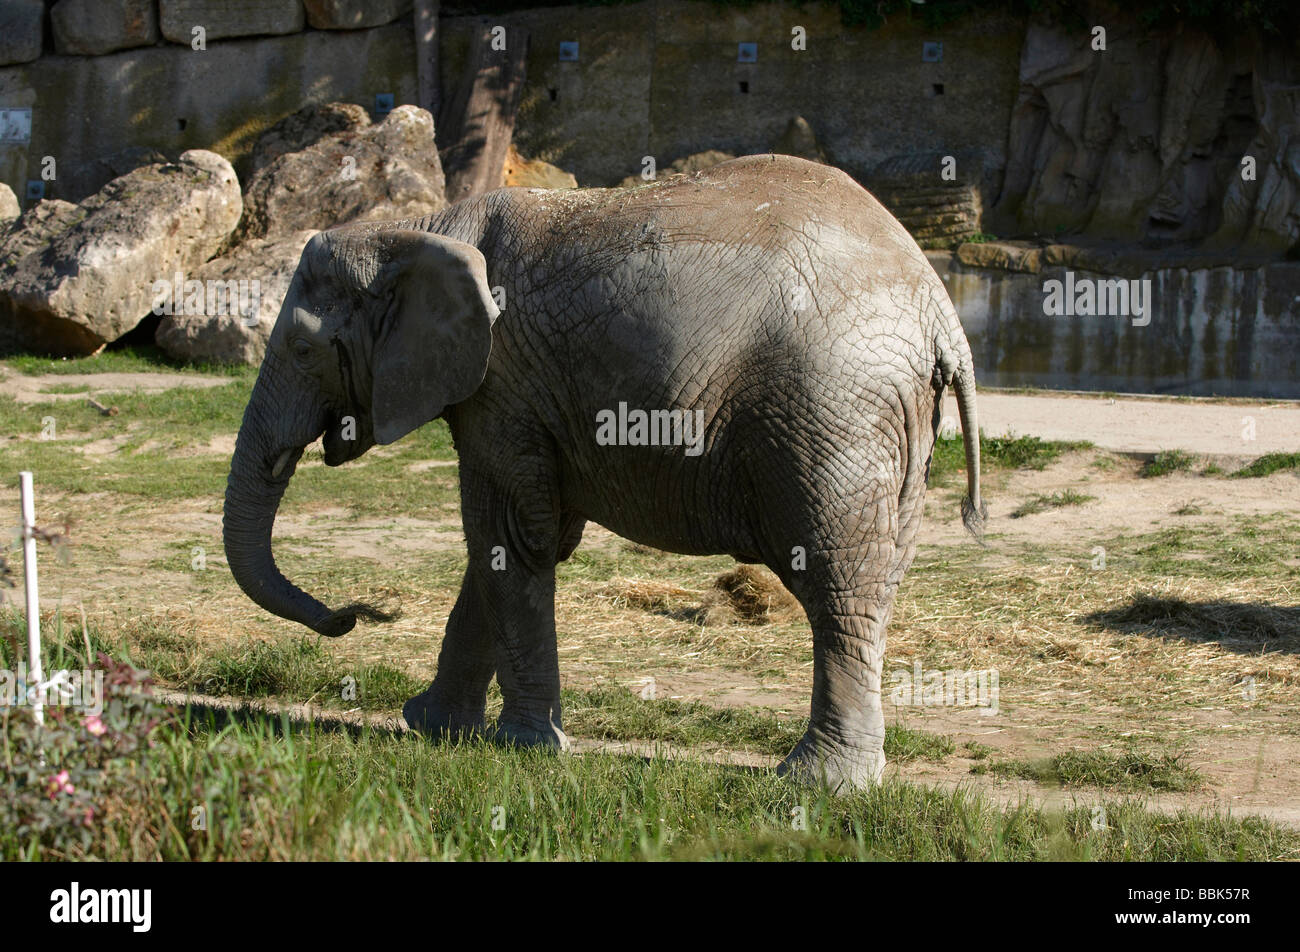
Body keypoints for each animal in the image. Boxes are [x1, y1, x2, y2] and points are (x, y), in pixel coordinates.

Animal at [223, 153, 985, 791]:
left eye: (301, 349)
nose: (354, 616)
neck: (413, 231)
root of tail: (938, 309)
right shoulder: (523, 395)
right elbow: (515, 543)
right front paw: (433, 728)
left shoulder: (503, 385)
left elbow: (510, 537)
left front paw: (525, 748)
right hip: (897, 428)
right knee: (878, 573)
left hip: (832, 414)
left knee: (835, 578)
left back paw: (819, 784)